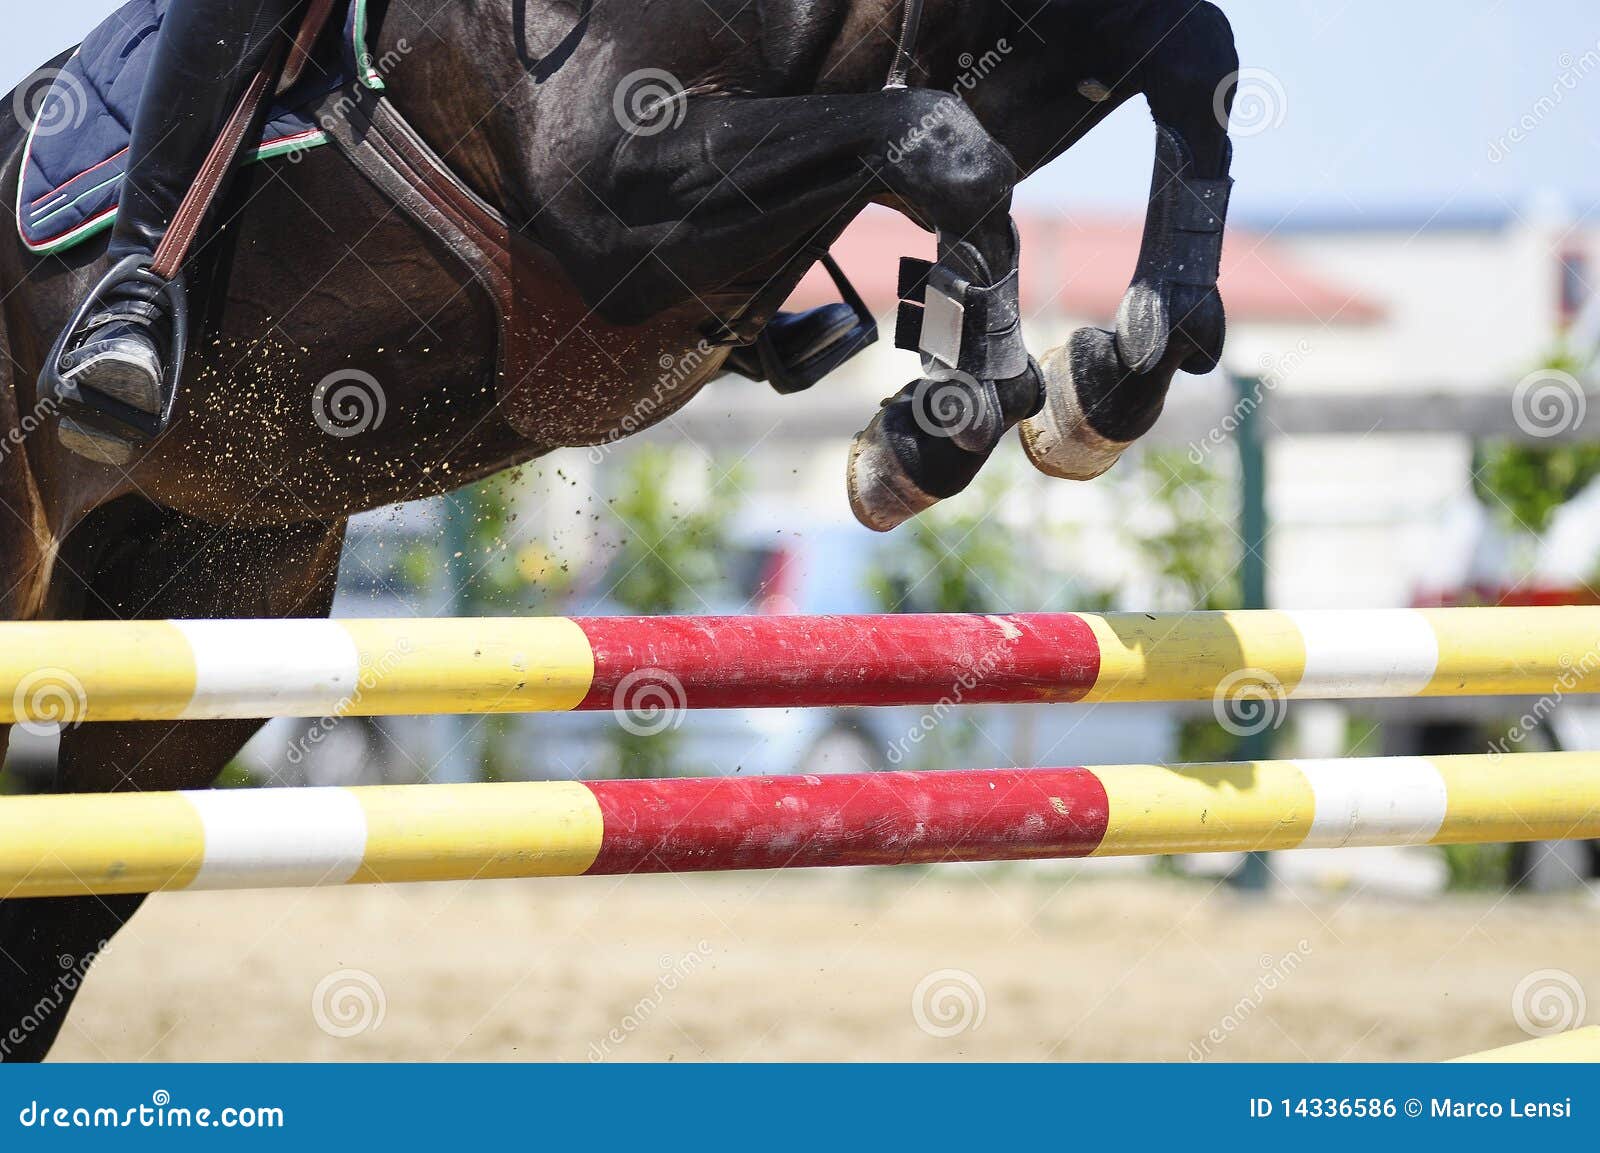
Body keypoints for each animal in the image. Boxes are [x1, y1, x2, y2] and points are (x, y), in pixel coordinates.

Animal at [0, 0, 1237, 1059]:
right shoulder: (604, 171)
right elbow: (950, 144)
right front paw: (961, 411)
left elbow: (1185, 59)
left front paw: (1098, 379)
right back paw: (124, 340)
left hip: (198, 631)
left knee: (53, 931)